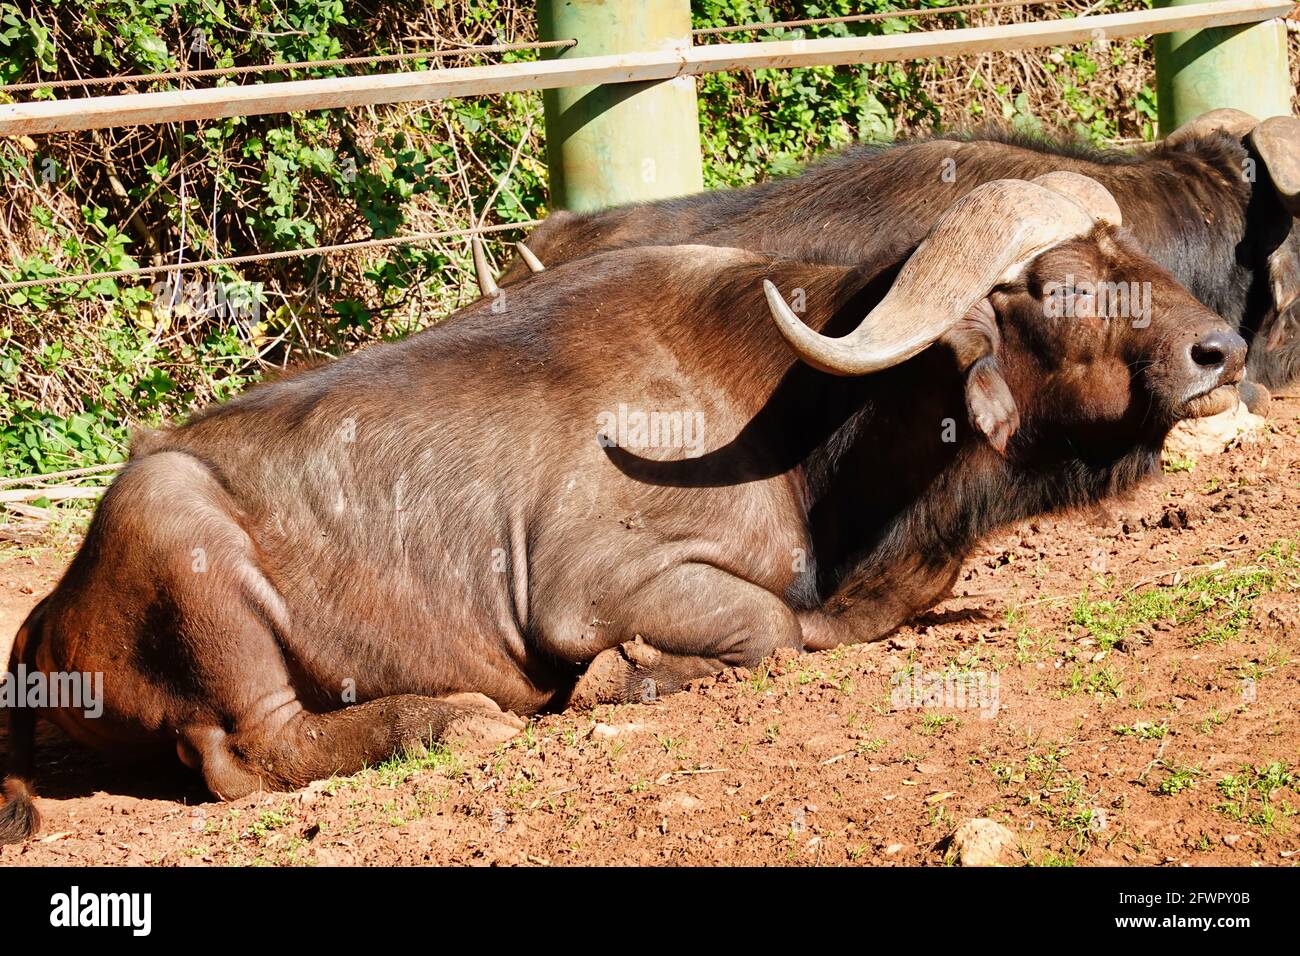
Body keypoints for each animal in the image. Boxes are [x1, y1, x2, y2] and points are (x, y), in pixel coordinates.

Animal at [1, 175, 1246, 840]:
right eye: (1050, 281)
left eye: (1127, 249)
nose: (1220, 350)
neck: (813, 431)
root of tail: (47, 619)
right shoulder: (594, 591)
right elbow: (769, 628)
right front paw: (622, 676)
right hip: (183, 536)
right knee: (247, 751)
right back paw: (447, 717)